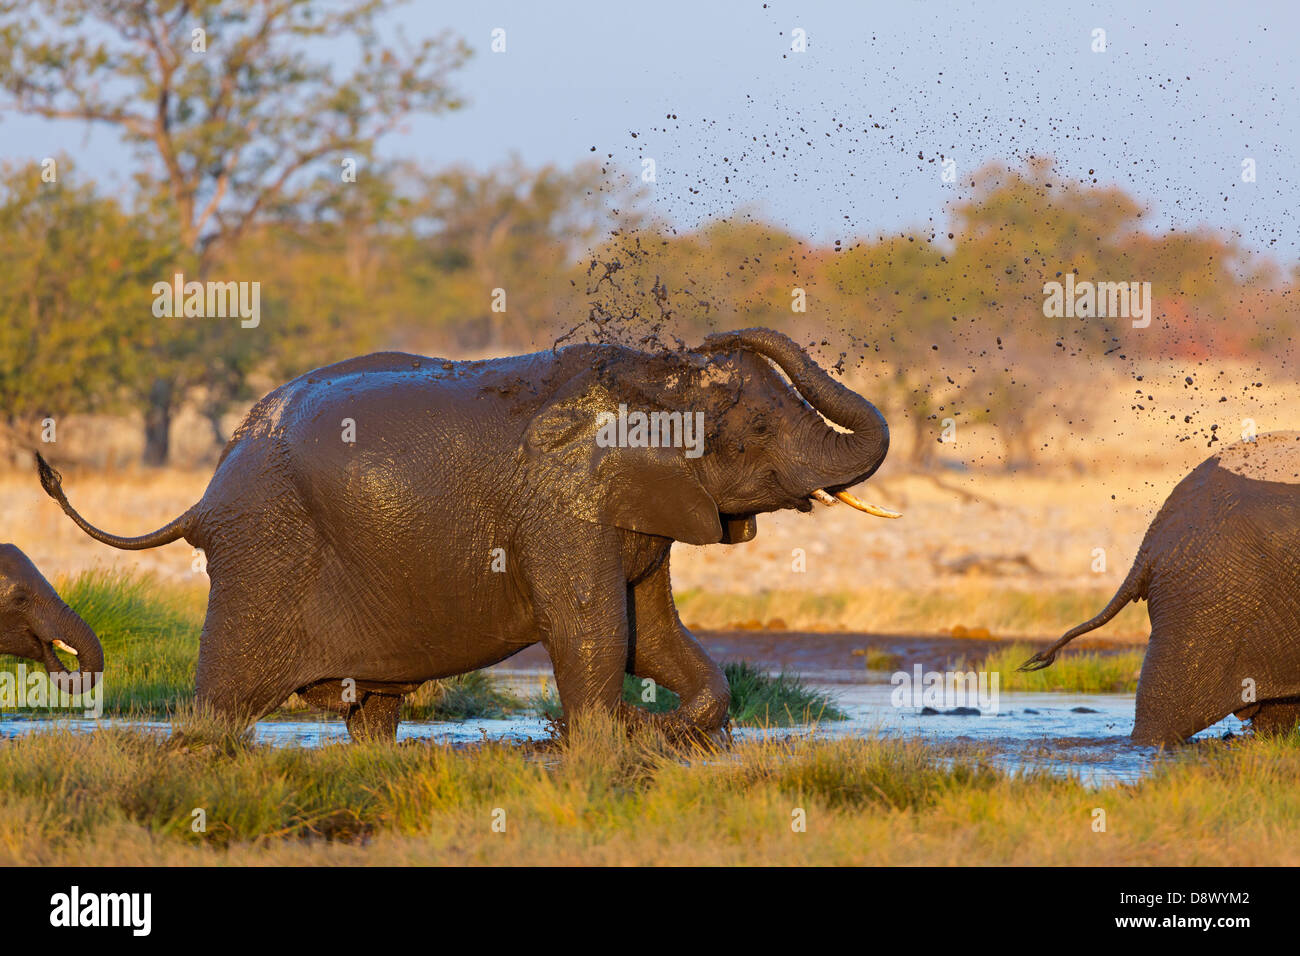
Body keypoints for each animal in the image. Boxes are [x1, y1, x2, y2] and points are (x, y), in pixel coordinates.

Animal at [36, 327, 894, 741]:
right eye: (758, 428)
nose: (715, 338)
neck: (646, 379)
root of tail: (204, 495)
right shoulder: (561, 505)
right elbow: (593, 633)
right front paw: (603, 739)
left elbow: (651, 634)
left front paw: (662, 729)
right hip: (263, 548)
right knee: (222, 703)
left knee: (371, 715)